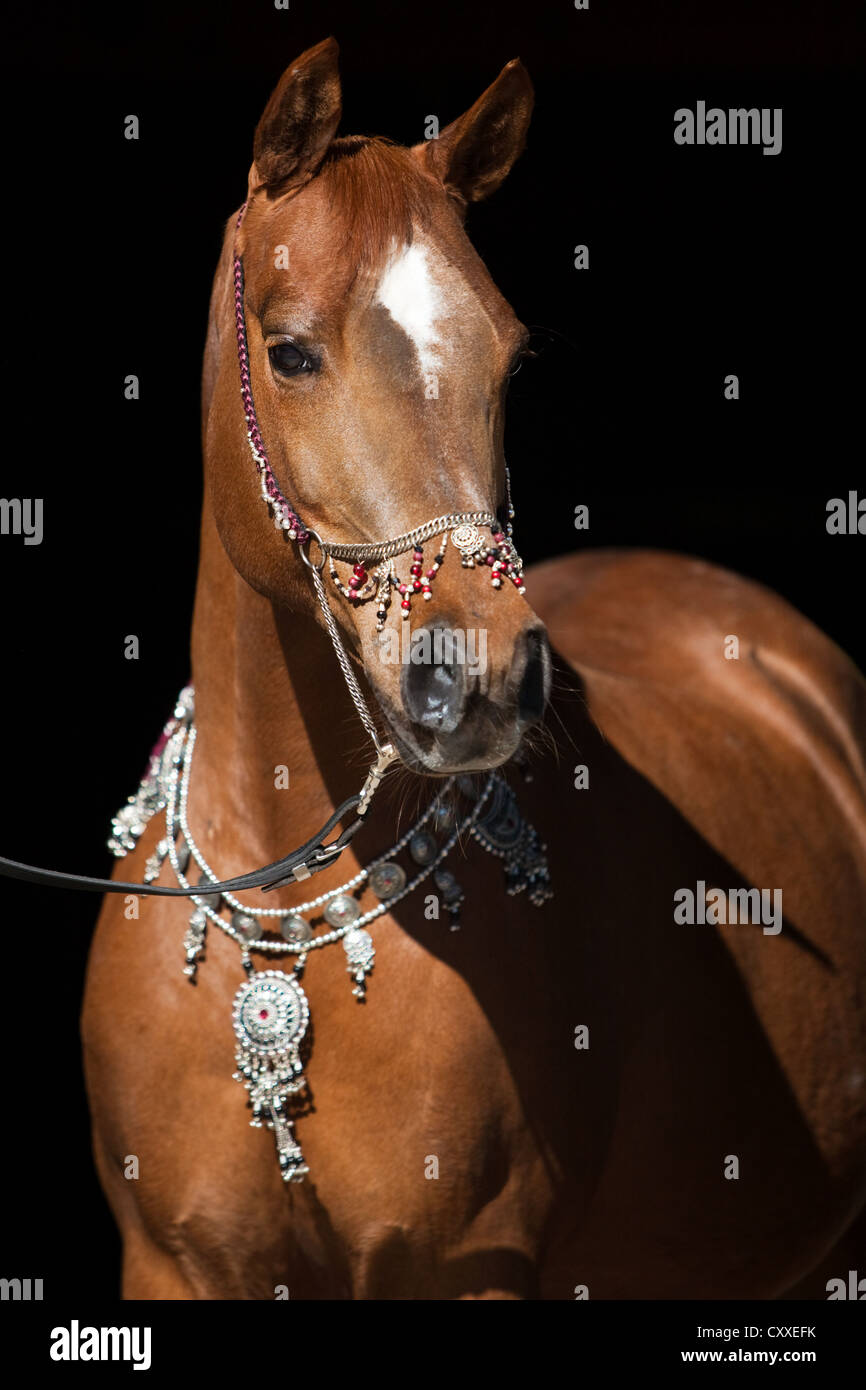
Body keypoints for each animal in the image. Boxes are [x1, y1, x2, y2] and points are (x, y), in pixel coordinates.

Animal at [81, 38, 866, 1300]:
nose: (481, 678)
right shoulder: (173, 1265)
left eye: (508, 355)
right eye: (289, 351)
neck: (286, 916)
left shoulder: (467, 1264)